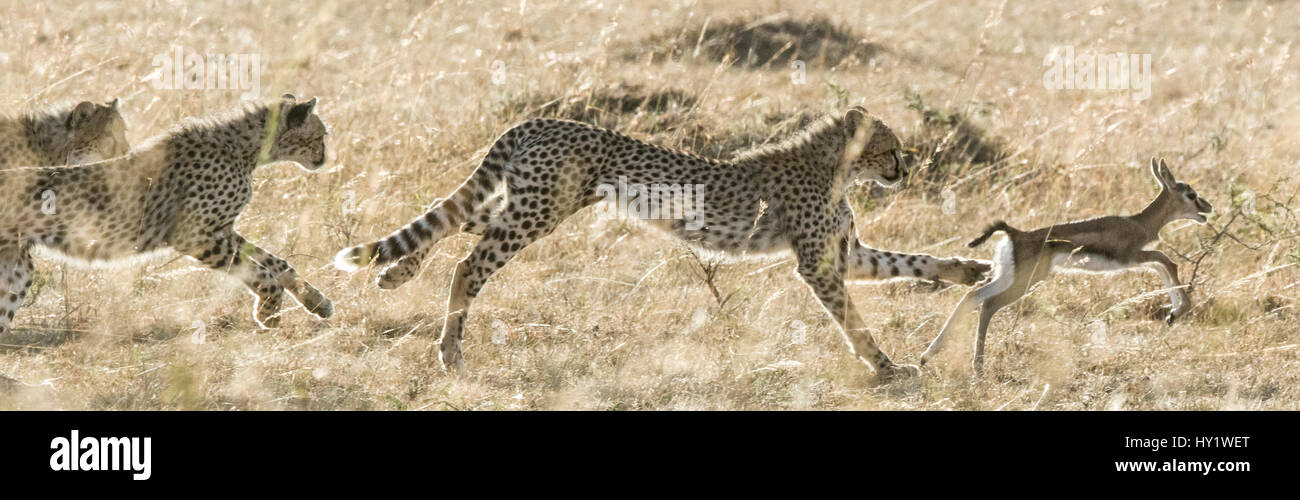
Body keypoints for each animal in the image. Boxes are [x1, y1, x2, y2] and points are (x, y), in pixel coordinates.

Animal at [336, 106, 991, 382]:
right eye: (891, 147)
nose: (904, 169)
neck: (835, 165)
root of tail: (544, 119)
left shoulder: (845, 254)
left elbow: (912, 260)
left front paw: (970, 269)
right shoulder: (817, 264)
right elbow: (853, 319)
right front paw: (884, 366)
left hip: (529, 203)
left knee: (450, 219)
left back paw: (394, 274)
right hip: (536, 213)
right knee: (468, 265)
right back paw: (449, 351)